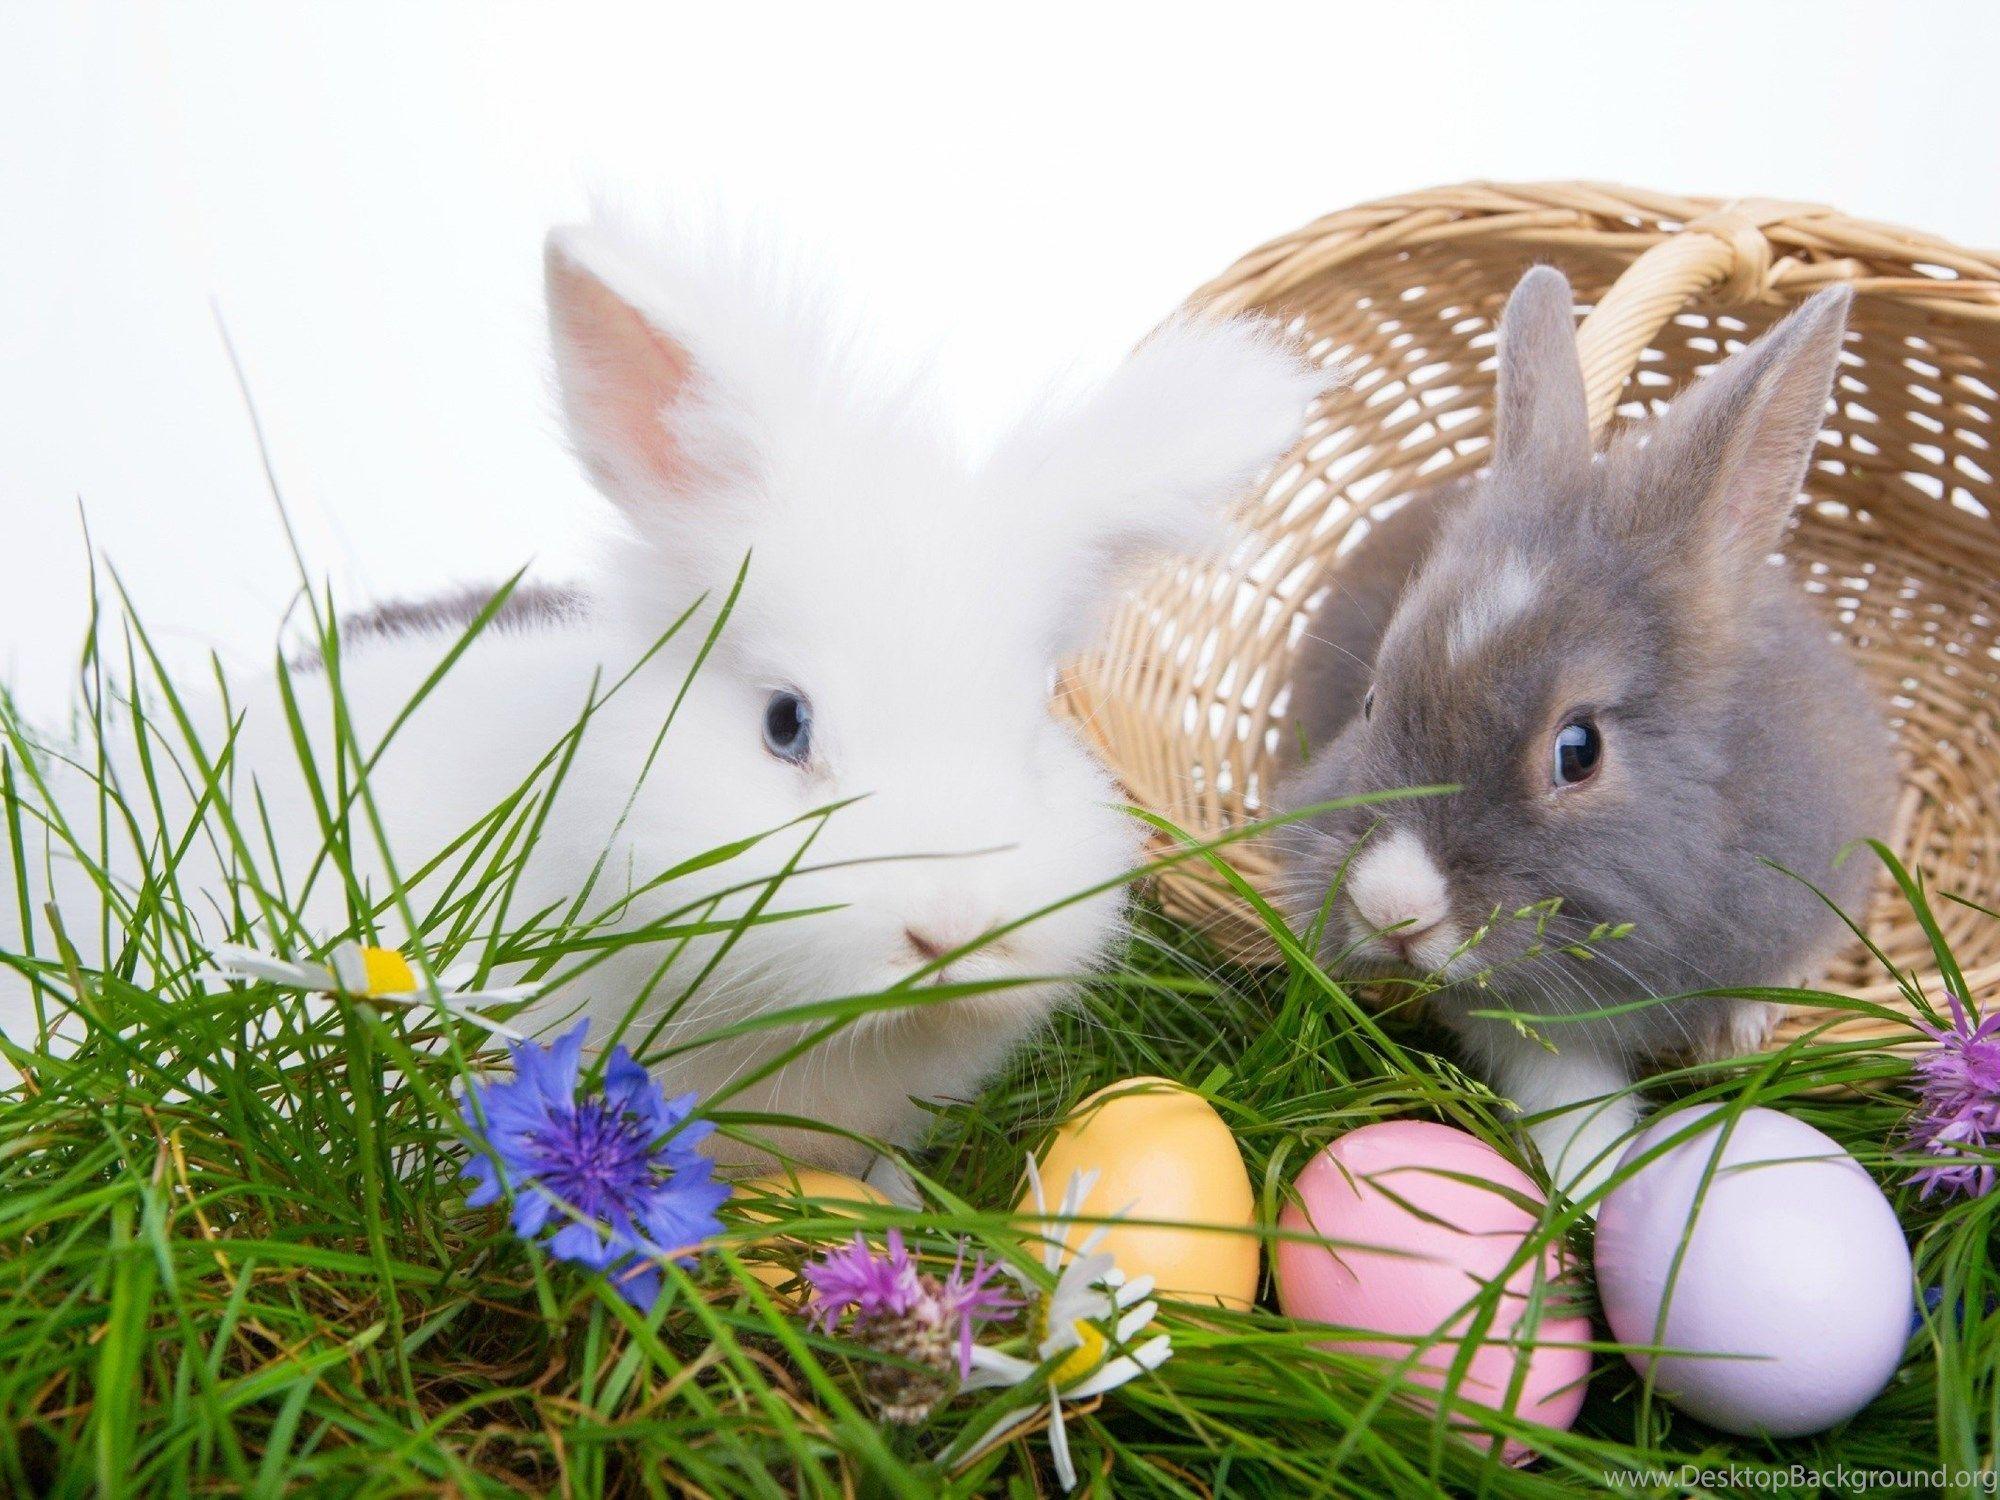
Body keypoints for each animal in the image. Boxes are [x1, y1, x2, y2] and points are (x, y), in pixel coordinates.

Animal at [1275, 265, 1895, 1204]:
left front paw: (1741, 1031)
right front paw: (1590, 1182)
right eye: (1375, 702)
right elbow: (1562, 1084)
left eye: (1578, 751)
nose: (1391, 910)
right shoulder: (1523, 1015)